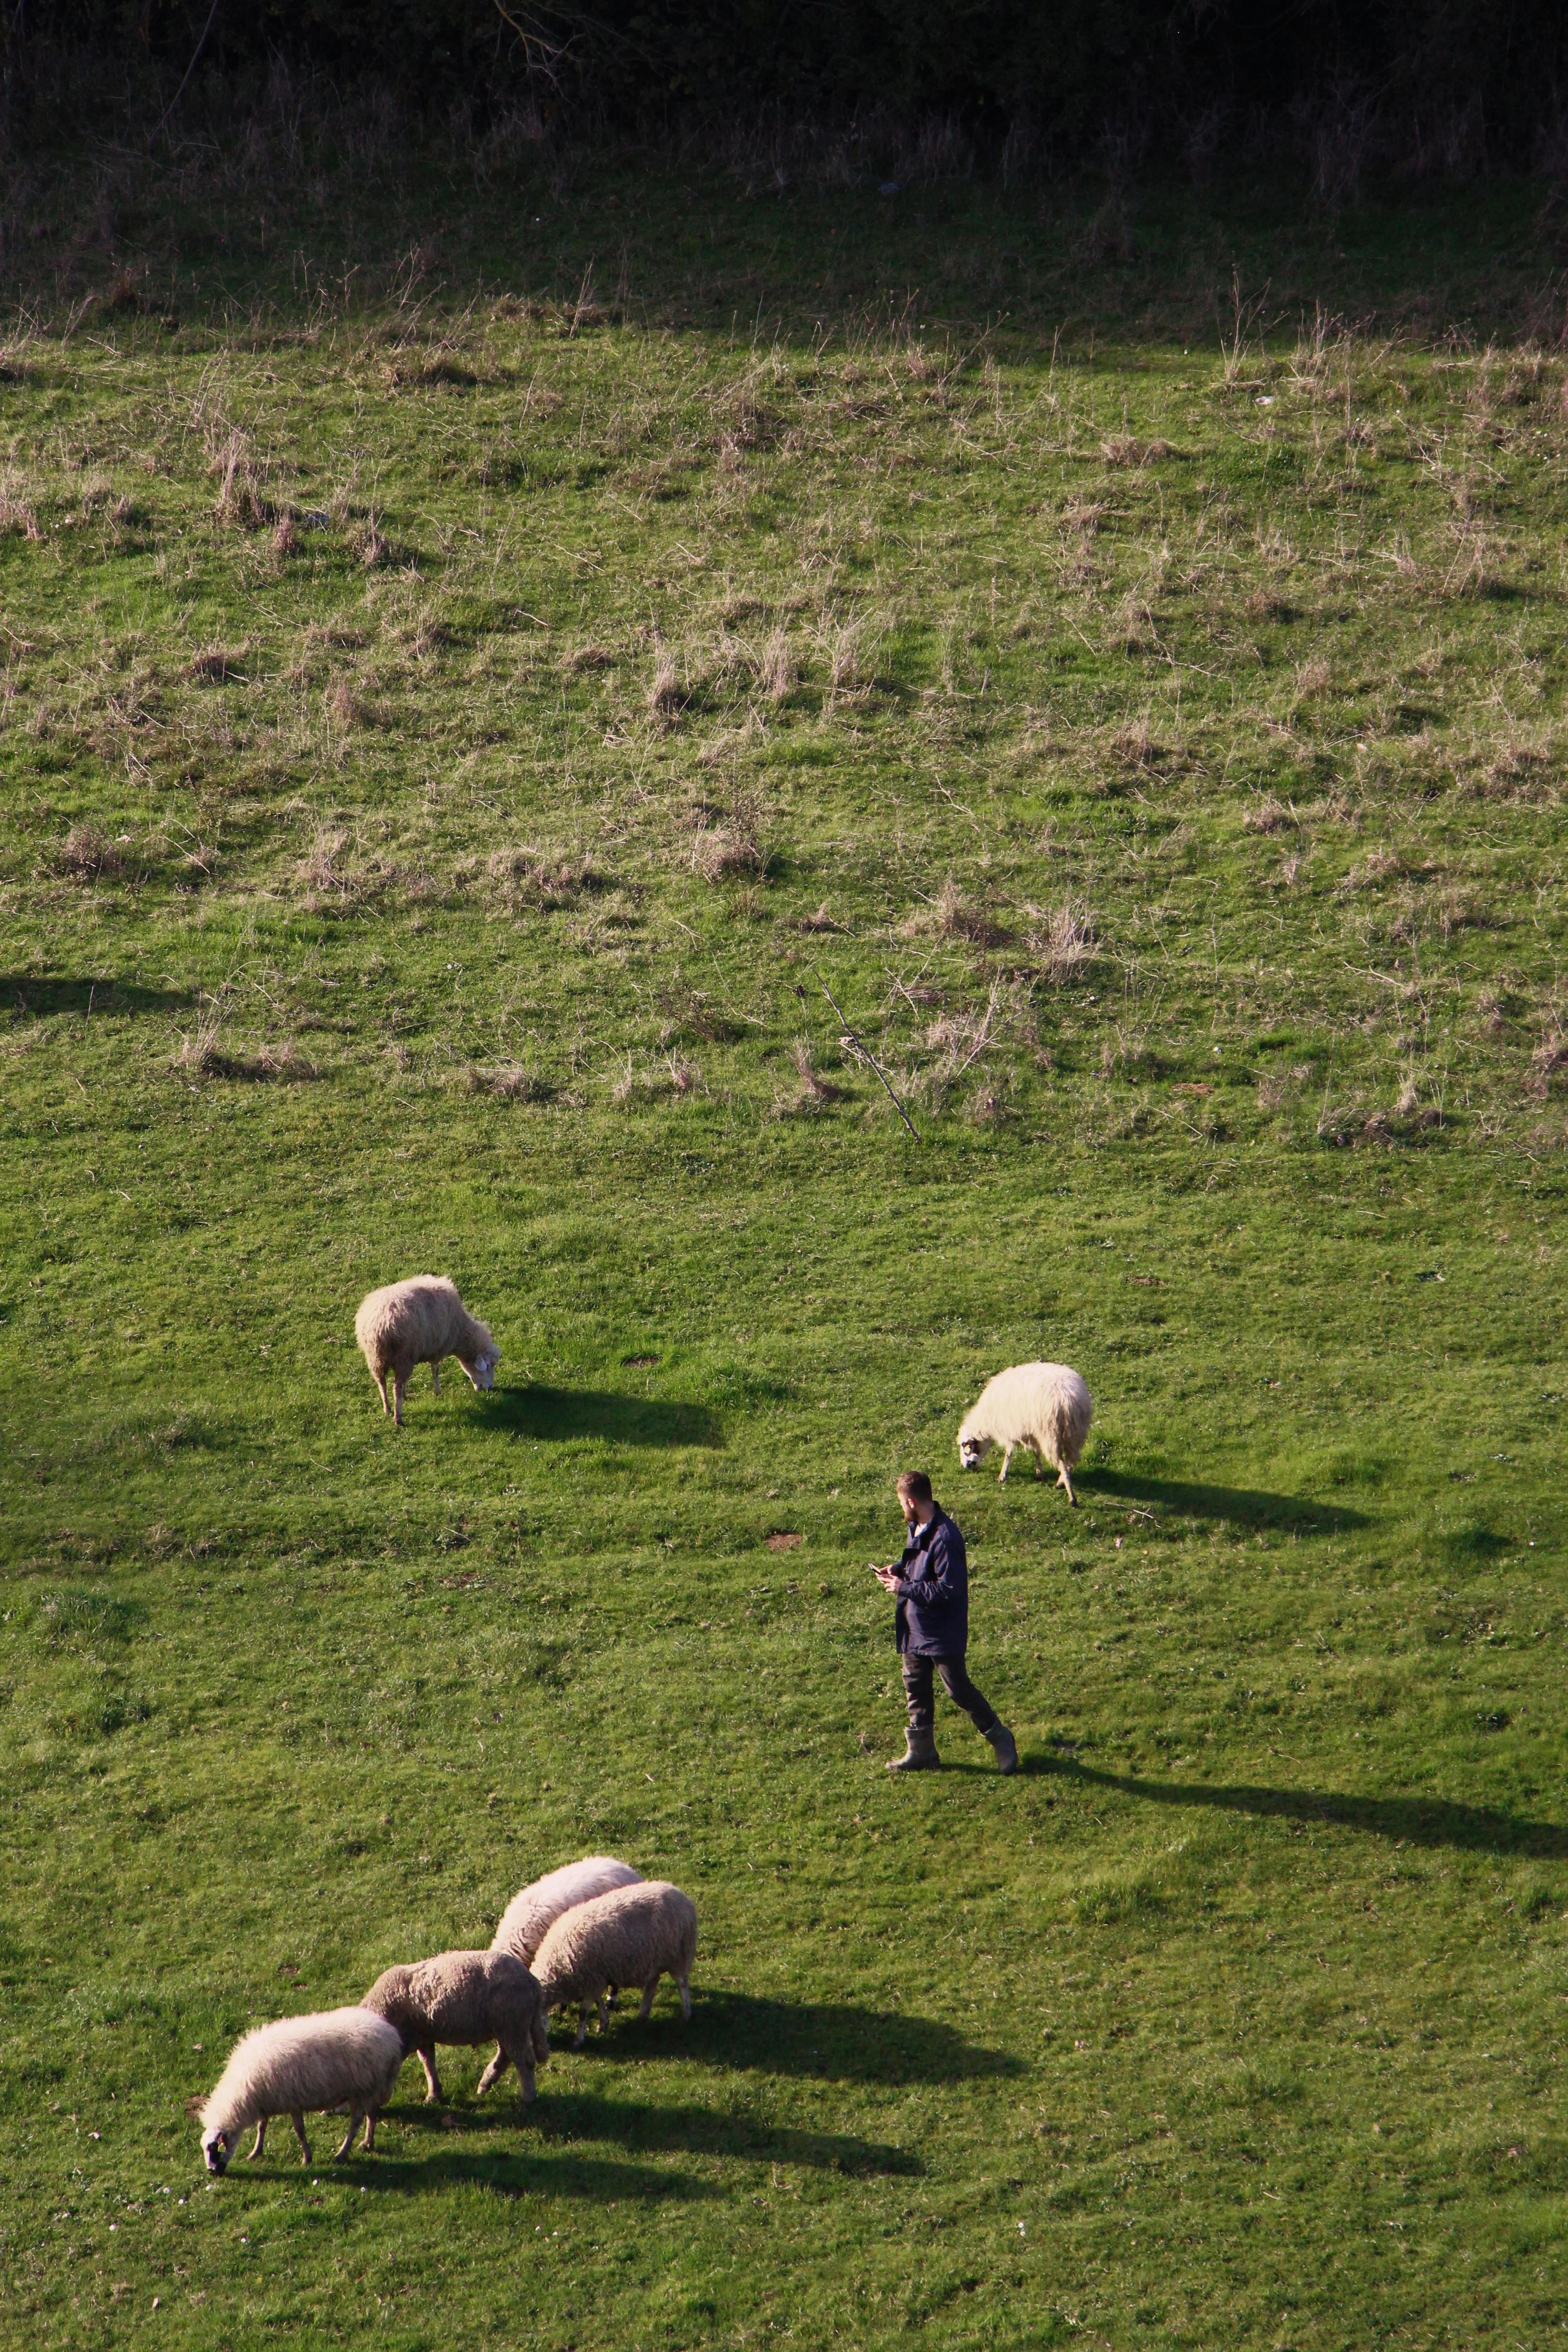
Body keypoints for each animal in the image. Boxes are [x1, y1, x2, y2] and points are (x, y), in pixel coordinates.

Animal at [199, 2006, 404, 2174]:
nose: (212, 2172)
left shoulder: (292, 2102)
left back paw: (342, 2153)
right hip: (372, 2086)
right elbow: (262, 2126)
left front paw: (307, 2158)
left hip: (361, 2089)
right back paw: (368, 2142)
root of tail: (390, 2034)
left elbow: (300, 2131)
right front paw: (256, 2152)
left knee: (356, 2121)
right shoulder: (265, 2101)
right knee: (372, 2114)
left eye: (213, 2148)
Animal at [354, 1275, 498, 1425]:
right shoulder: (437, 1347)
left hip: (376, 1358)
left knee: (382, 1383)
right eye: (488, 1366)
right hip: (403, 1356)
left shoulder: (415, 1353)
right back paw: (398, 1418)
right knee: (396, 1386)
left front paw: (406, 1394)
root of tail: (381, 1324)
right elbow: (435, 1370)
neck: (460, 1332)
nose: (490, 1388)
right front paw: (438, 1392)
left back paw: (387, 1409)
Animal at [361, 1949, 549, 2107]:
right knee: (506, 2055)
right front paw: (434, 2094)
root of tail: (531, 1981)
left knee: (524, 2060)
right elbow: (428, 2062)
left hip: (511, 2022)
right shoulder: (423, 2034)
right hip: (506, 2025)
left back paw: (528, 2098)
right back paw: (486, 2083)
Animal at [529, 1880, 697, 2050]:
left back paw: (687, 2014)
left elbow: (583, 2013)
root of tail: (678, 1893)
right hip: (654, 1961)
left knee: (682, 1984)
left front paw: (579, 2040)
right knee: (652, 1985)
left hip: (679, 1954)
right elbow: (599, 2002)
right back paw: (642, 2016)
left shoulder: (592, 1980)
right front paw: (603, 2023)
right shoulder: (596, 1979)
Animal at [957, 1361, 1093, 1500]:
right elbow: (1036, 1451)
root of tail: (1068, 1398)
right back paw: (1062, 1483)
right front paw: (1039, 1473)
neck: (987, 1421)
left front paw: (1002, 1476)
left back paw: (1069, 1495)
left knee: (1062, 1462)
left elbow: (1009, 1453)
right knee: (1071, 1461)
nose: (965, 1466)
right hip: (1075, 1434)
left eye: (964, 1446)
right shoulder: (1031, 1429)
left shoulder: (1012, 1428)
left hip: (1051, 1434)